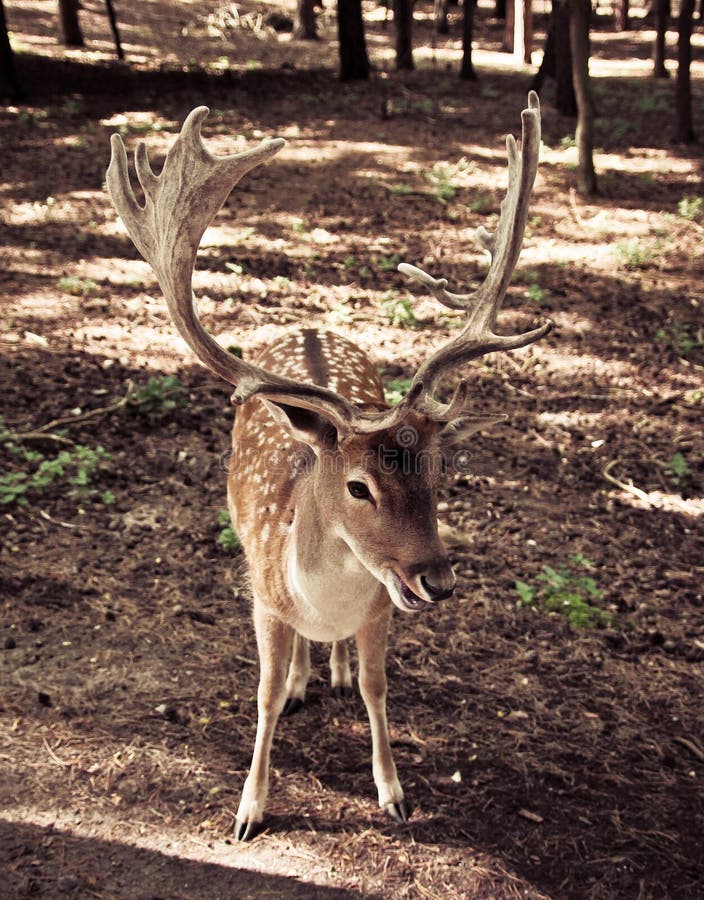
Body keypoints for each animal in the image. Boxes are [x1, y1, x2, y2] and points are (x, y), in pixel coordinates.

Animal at [106, 91, 550, 842]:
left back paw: (332, 668)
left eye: (439, 473)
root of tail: (312, 326)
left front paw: (393, 792)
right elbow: (260, 696)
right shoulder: (261, 597)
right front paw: (248, 809)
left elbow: (376, 687)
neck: (324, 597)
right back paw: (303, 679)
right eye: (358, 486)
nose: (437, 581)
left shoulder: (380, 611)